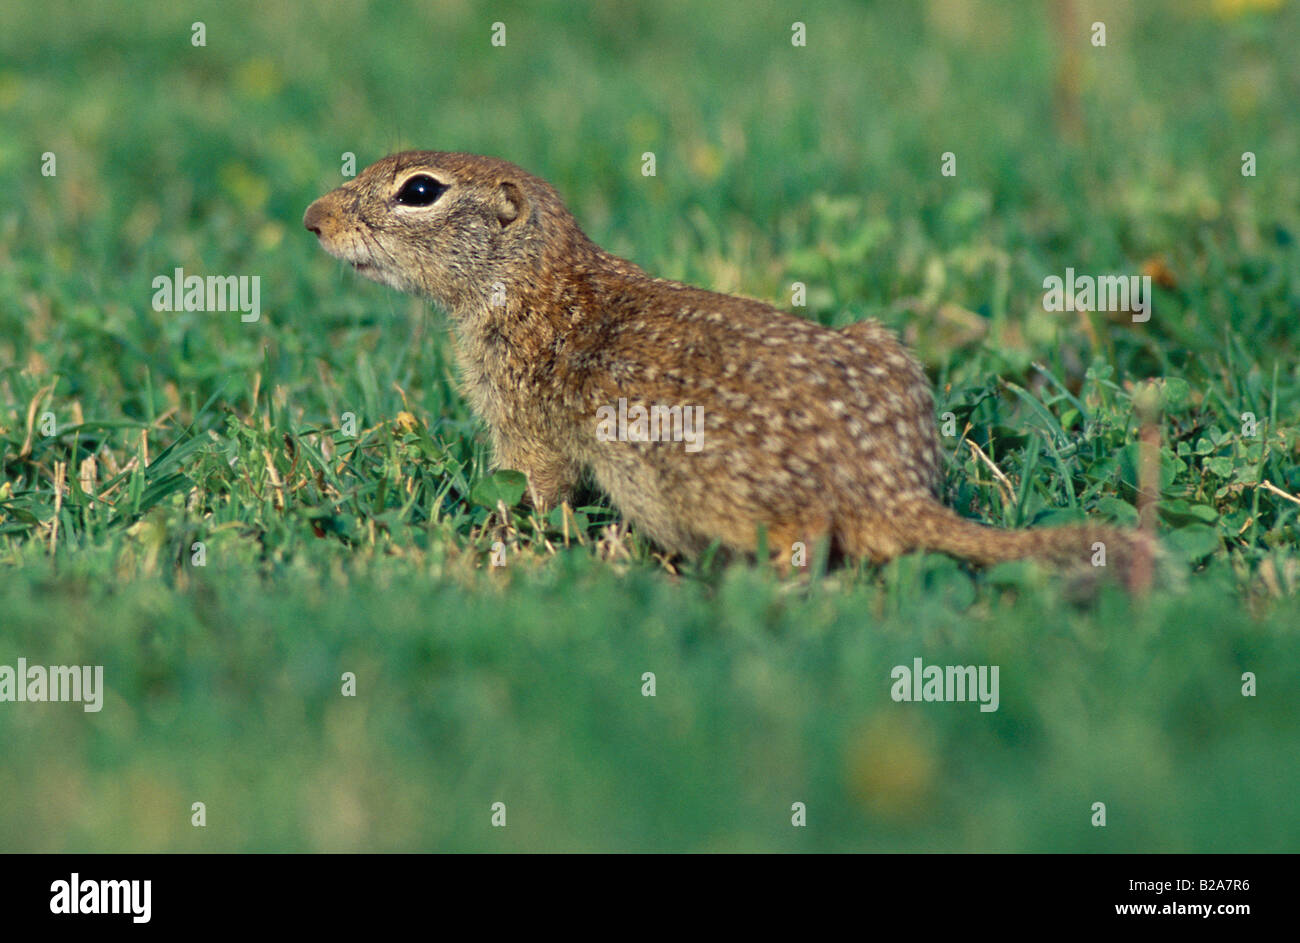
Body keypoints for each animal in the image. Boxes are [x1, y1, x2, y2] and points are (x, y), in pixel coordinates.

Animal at [304, 151, 1153, 580]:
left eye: (420, 190)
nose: (312, 219)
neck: (538, 279)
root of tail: (888, 488)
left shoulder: (525, 423)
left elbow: (531, 486)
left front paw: (491, 529)